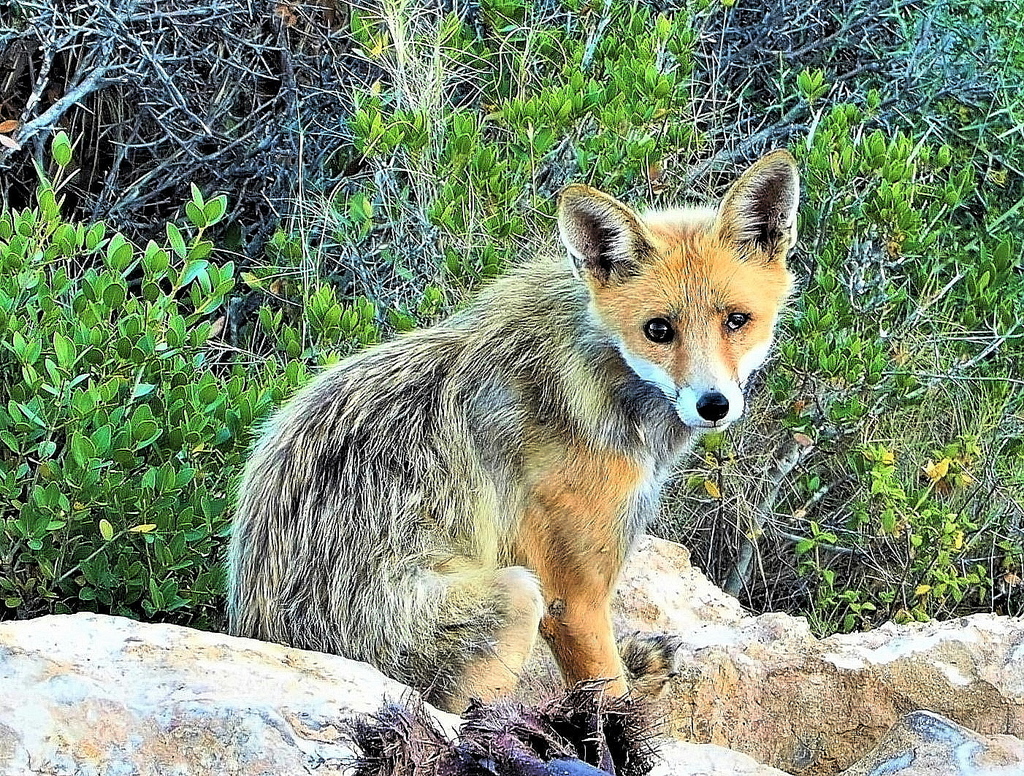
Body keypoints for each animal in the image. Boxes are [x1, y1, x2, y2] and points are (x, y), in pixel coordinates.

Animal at [227, 150, 799, 713]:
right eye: (659, 330)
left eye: (736, 320)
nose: (713, 405)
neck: (586, 379)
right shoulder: (572, 597)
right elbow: (608, 701)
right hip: (517, 596)